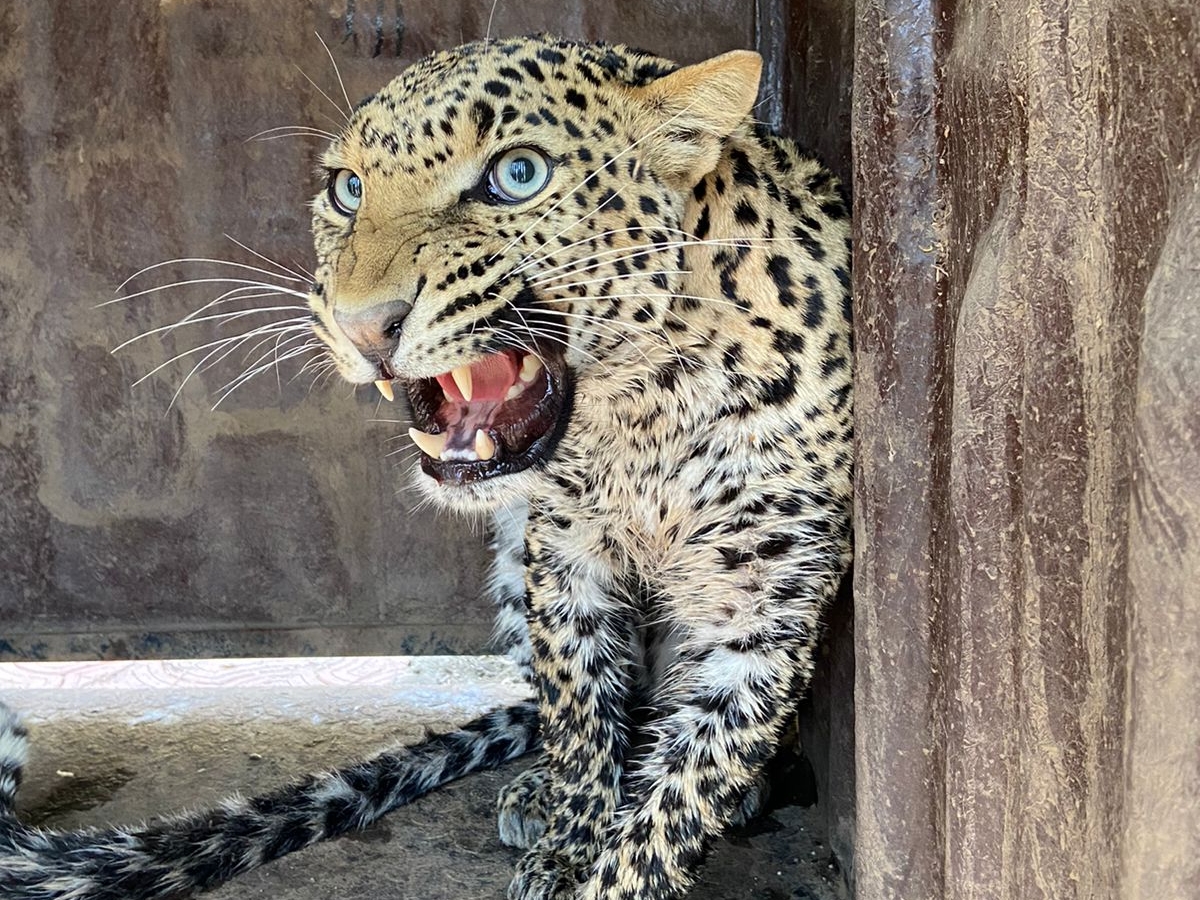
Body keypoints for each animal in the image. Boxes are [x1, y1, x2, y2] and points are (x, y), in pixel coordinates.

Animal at [0, 34, 852, 900]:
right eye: (347, 190)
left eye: (518, 175)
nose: (361, 326)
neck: (642, 420)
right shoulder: (560, 558)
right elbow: (579, 716)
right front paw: (568, 843)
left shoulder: (762, 604)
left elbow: (681, 794)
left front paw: (616, 871)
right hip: (513, 555)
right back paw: (537, 792)